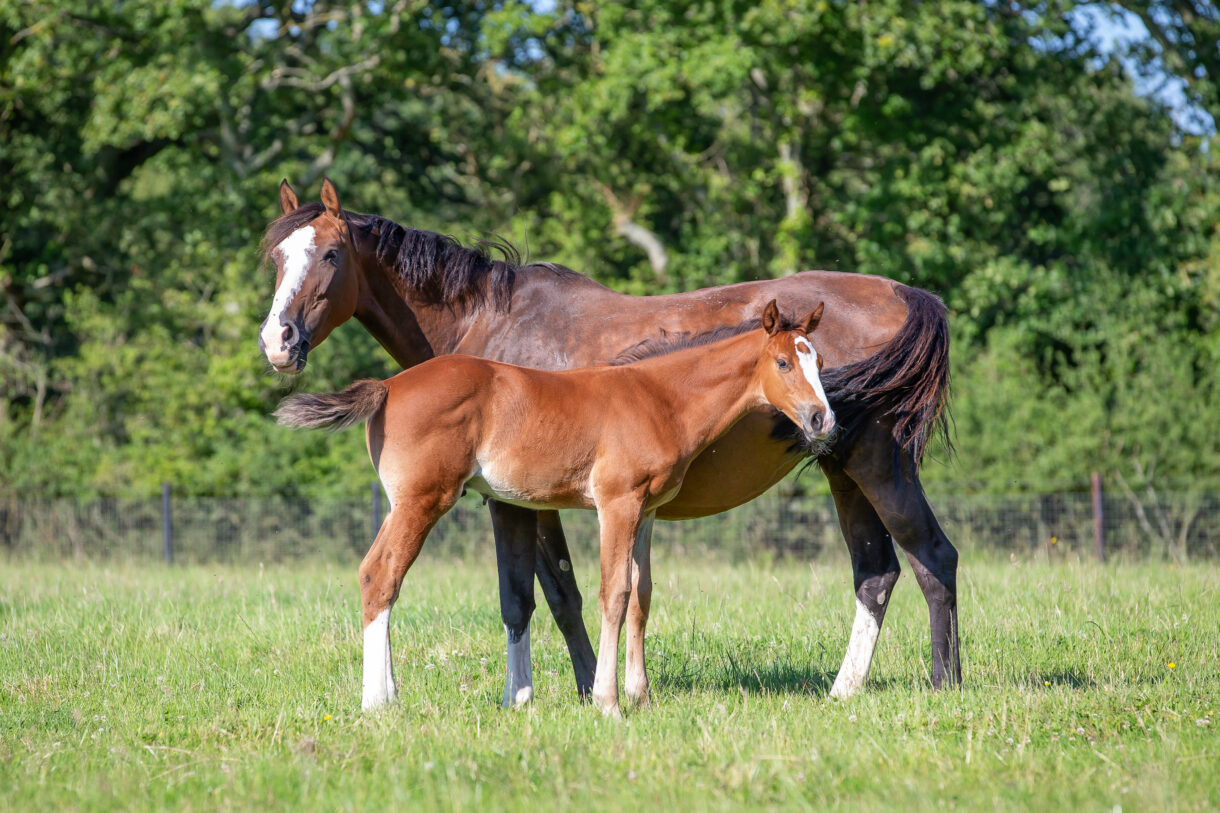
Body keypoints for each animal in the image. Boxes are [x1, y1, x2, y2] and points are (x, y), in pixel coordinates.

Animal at [275, 300, 834, 715]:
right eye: (783, 362)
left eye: (821, 364)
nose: (821, 419)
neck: (659, 398)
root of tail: (388, 386)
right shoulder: (616, 503)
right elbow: (614, 592)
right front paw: (608, 702)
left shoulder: (648, 511)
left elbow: (642, 596)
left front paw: (641, 696)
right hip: (421, 501)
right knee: (380, 575)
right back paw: (378, 701)